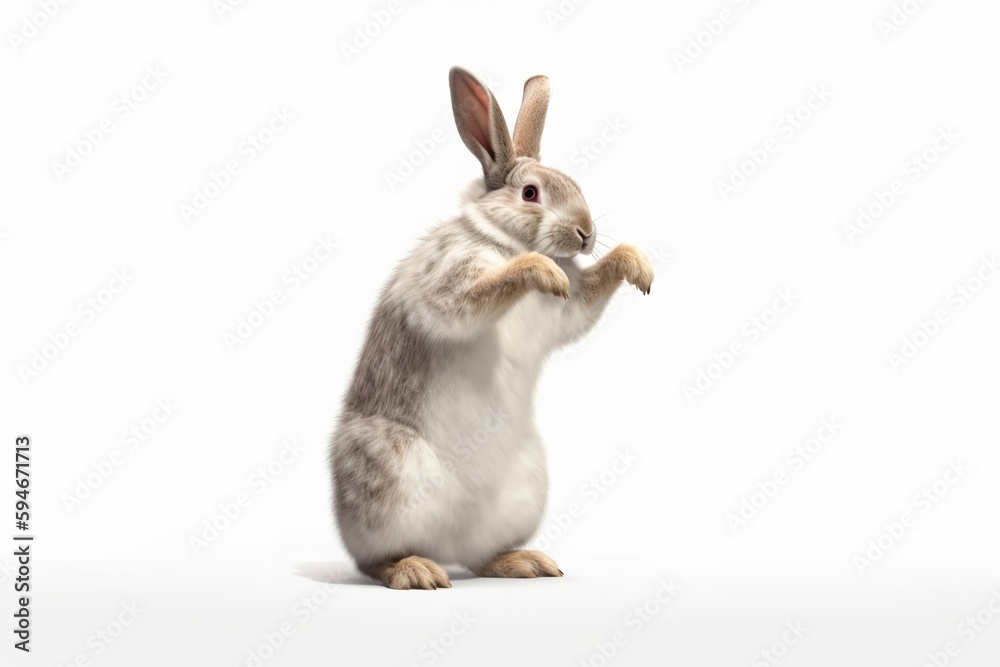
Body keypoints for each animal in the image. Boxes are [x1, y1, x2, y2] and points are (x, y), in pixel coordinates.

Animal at [329, 67, 654, 589]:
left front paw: (638, 266)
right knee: (374, 559)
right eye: (530, 193)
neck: (504, 242)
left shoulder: (571, 311)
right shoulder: (449, 283)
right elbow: (475, 295)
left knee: (481, 555)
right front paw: (542, 271)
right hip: (388, 477)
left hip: (524, 487)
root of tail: (448, 545)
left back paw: (525, 562)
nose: (586, 233)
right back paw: (415, 571)